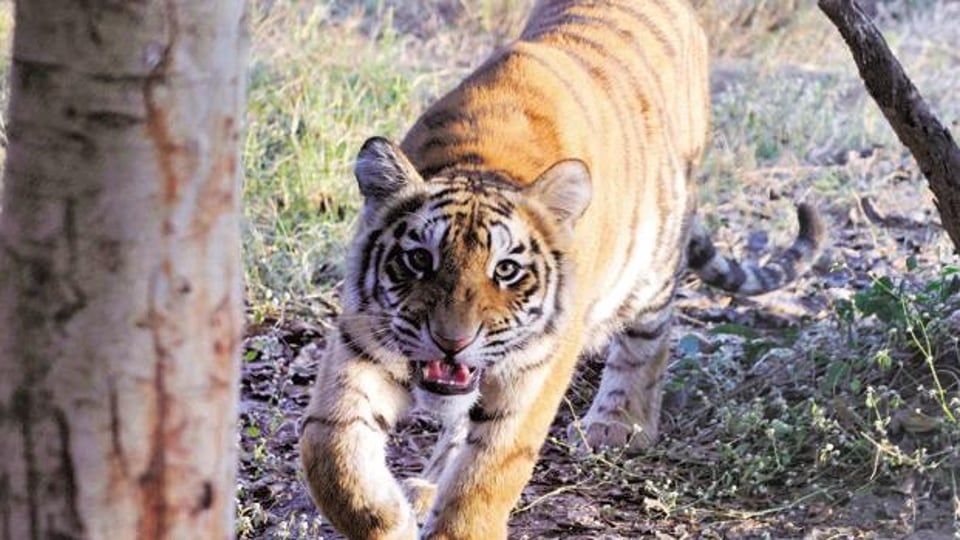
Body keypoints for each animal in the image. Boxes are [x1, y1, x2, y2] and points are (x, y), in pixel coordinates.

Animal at [299, 0, 824, 538]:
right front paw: (392, 517)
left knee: (650, 340)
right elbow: (331, 453)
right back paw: (424, 487)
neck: (480, 163)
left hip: (655, 261)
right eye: (420, 259)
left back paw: (617, 424)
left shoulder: (536, 367)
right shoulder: (361, 338)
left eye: (506, 270)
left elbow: (486, 474)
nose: (451, 342)